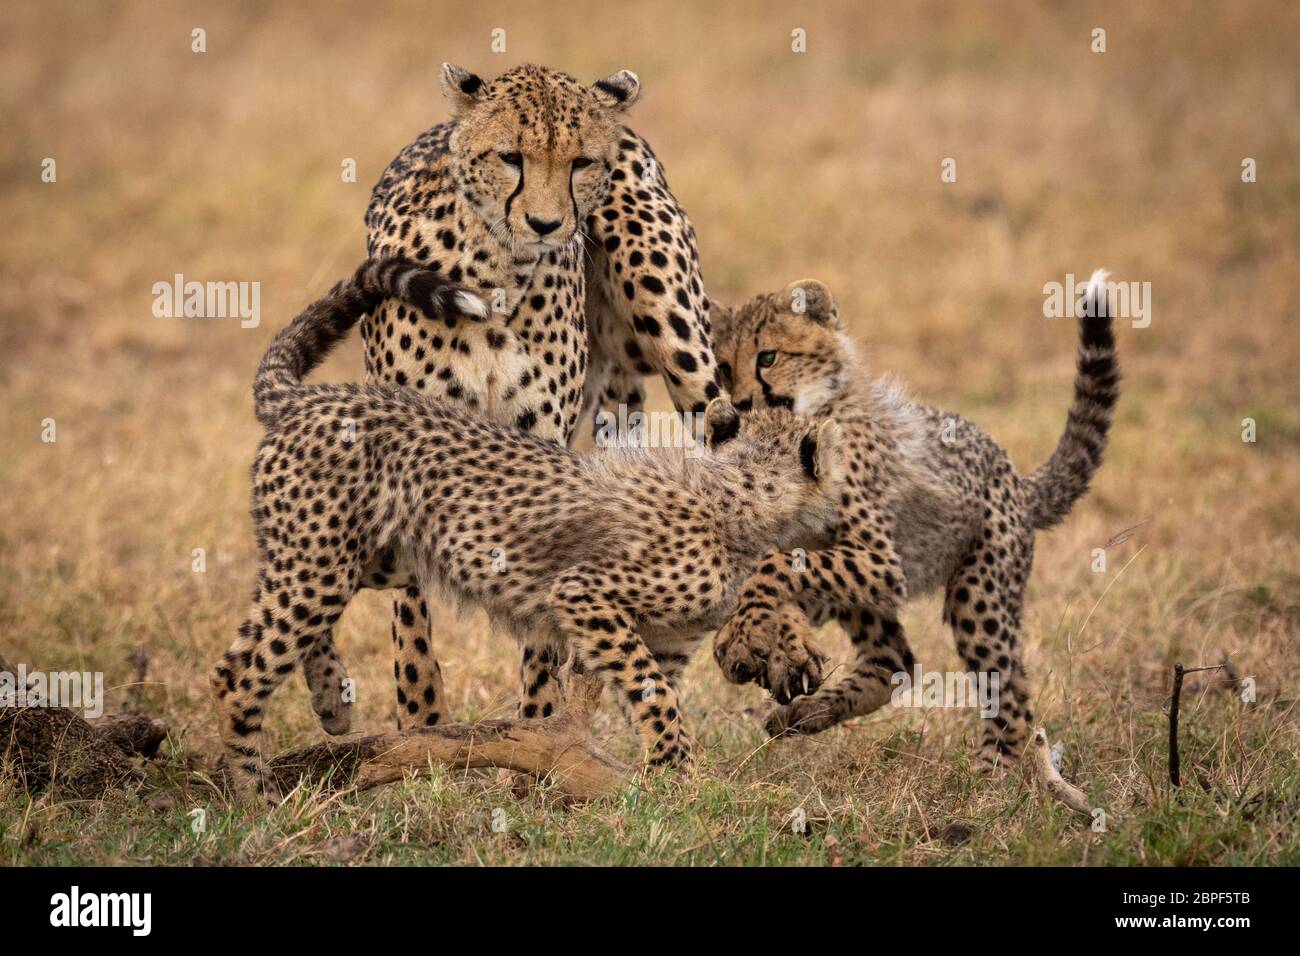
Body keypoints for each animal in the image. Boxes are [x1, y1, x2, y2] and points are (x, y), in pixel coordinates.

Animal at [211, 257, 844, 802]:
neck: (741, 494)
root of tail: (315, 395)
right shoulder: (584, 592)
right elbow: (653, 689)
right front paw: (677, 770)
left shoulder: (662, 636)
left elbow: (640, 687)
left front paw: (657, 769)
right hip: (323, 563)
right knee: (236, 672)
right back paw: (254, 793)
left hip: (364, 555)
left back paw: (330, 698)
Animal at [312, 63, 726, 737]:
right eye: (511, 157)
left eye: (581, 162)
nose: (547, 225)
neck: (495, 273)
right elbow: (411, 617)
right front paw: (423, 721)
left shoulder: (540, 443)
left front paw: (537, 720)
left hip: (680, 344)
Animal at [709, 270, 1119, 768]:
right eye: (724, 366)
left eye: (767, 356)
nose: (740, 402)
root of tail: (1016, 480)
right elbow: (773, 578)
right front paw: (766, 645)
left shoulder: (882, 560)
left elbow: (773, 567)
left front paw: (752, 637)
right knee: (894, 663)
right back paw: (806, 713)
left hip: (977, 591)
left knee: (1007, 684)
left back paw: (993, 770)